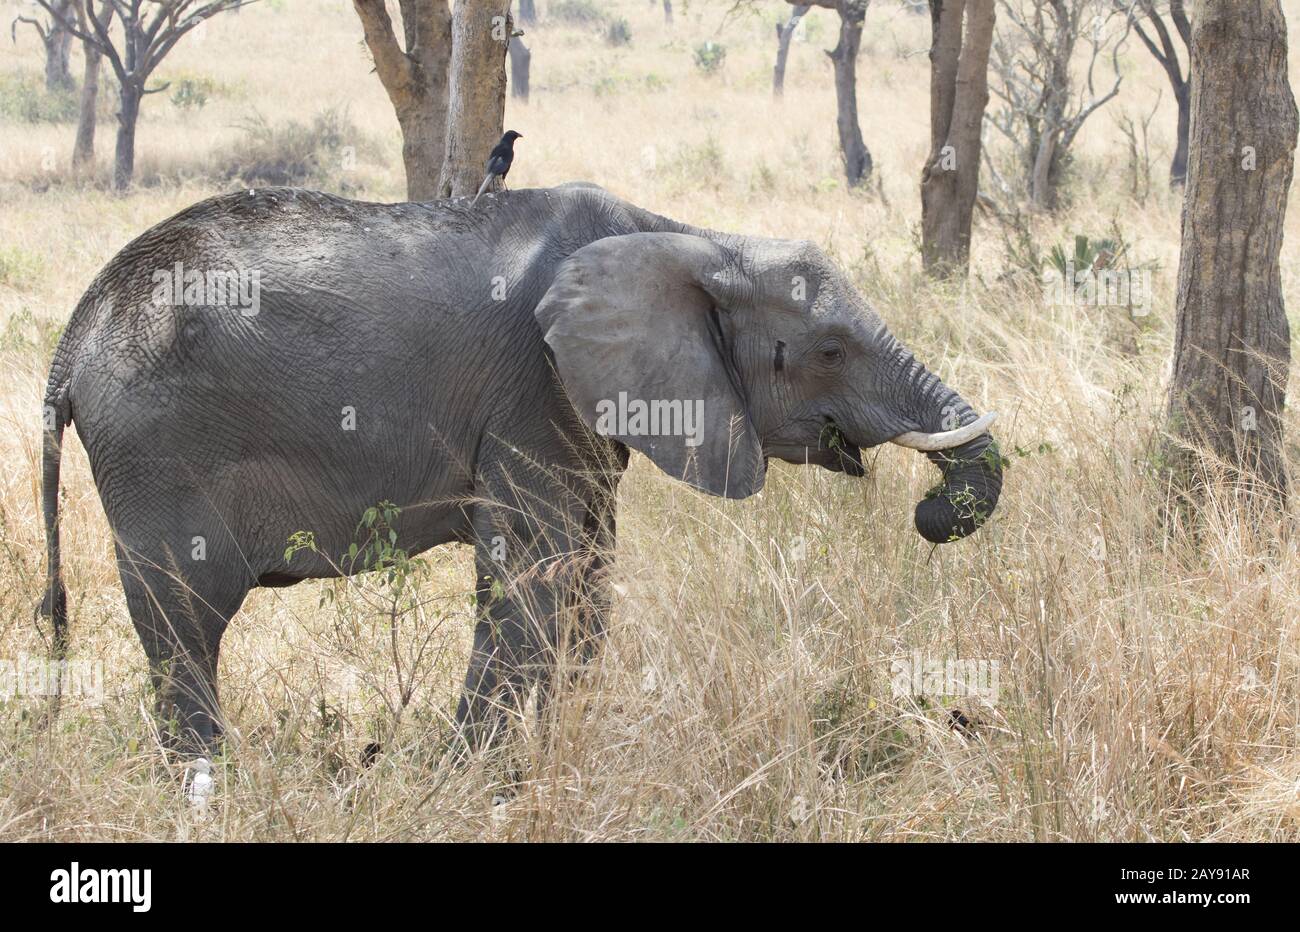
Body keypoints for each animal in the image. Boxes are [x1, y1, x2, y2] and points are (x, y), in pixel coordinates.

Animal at [38, 182, 1001, 757]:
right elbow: (528, 574)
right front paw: (471, 776)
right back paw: (210, 785)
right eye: (829, 350)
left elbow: (587, 574)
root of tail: (74, 336)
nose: (930, 512)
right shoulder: (534, 388)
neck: (691, 238)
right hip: (156, 447)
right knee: (184, 621)